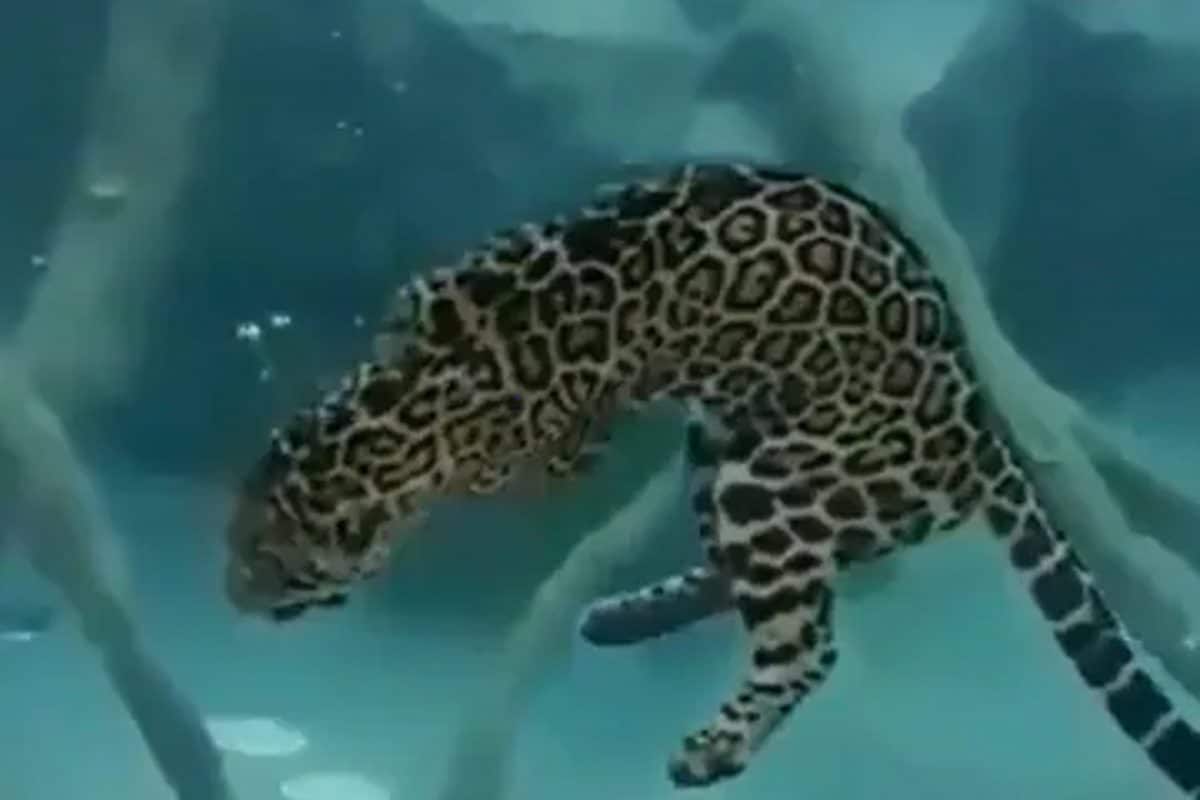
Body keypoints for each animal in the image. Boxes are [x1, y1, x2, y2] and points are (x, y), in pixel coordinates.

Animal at [224, 162, 1200, 794]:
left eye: (276, 569)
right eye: (232, 541)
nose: (232, 598)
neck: (407, 399)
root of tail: (981, 429)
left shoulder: (555, 449)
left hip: (769, 482)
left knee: (809, 639)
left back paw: (710, 750)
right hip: (725, 448)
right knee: (775, 578)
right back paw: (615, 618)